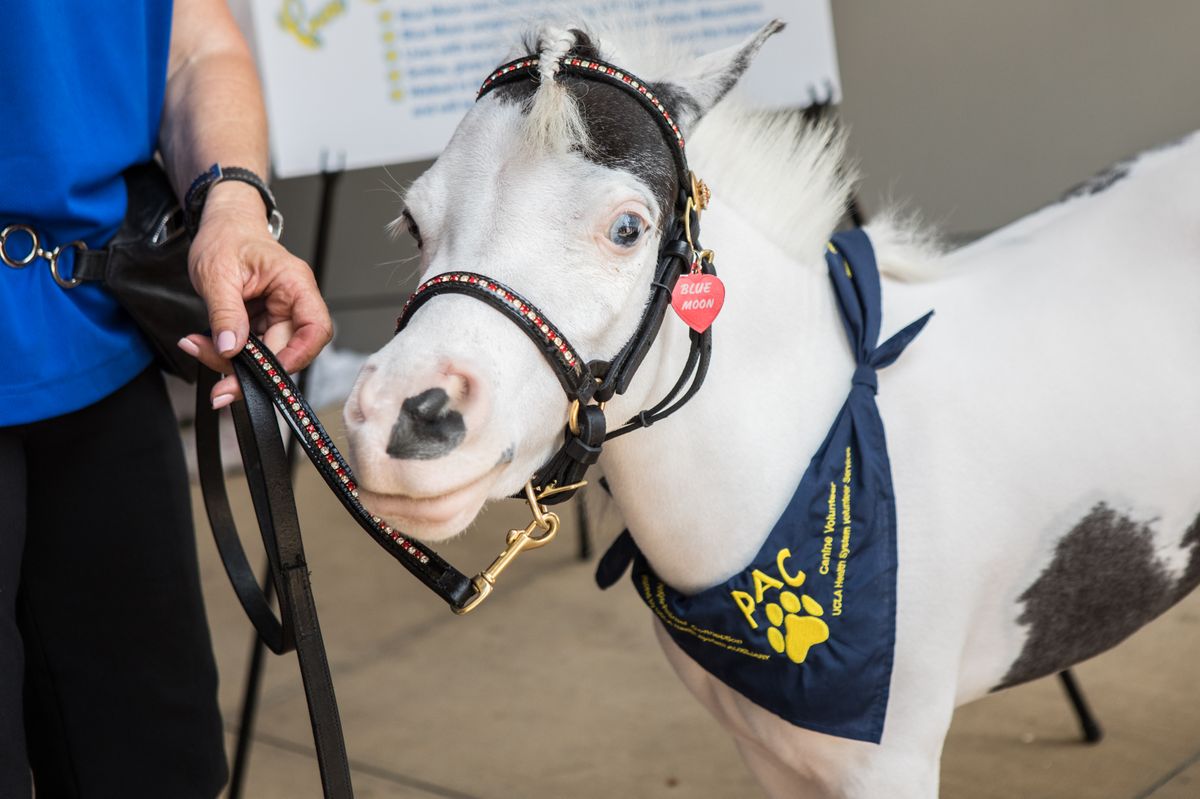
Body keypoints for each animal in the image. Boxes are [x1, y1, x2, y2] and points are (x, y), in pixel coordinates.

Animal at [341, 19, 1200, 798]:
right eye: (413, 222)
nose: (404, 418)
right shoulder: (771, 754)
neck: (811, 441)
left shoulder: (889, 767)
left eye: (628, 227)